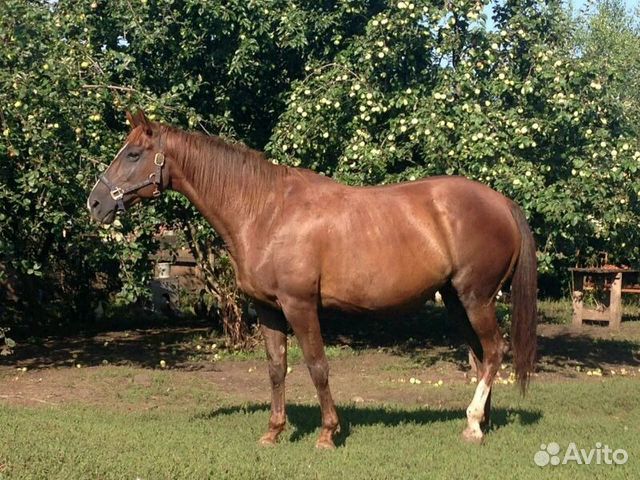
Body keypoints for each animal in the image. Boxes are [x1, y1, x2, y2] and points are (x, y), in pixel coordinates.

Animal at [88, 110, 537, 448]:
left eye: (133, 154)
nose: (95, 202)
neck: (265, 210)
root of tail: (503, 202)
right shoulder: (268, 309)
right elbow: (276, 368)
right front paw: (273, 432)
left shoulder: (300, 305)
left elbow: (317, 366)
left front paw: (327, 434)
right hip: (456, 300)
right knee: (480, 355)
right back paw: (479, 422)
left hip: (476, 297)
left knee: (494, 351)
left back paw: (474, 422)